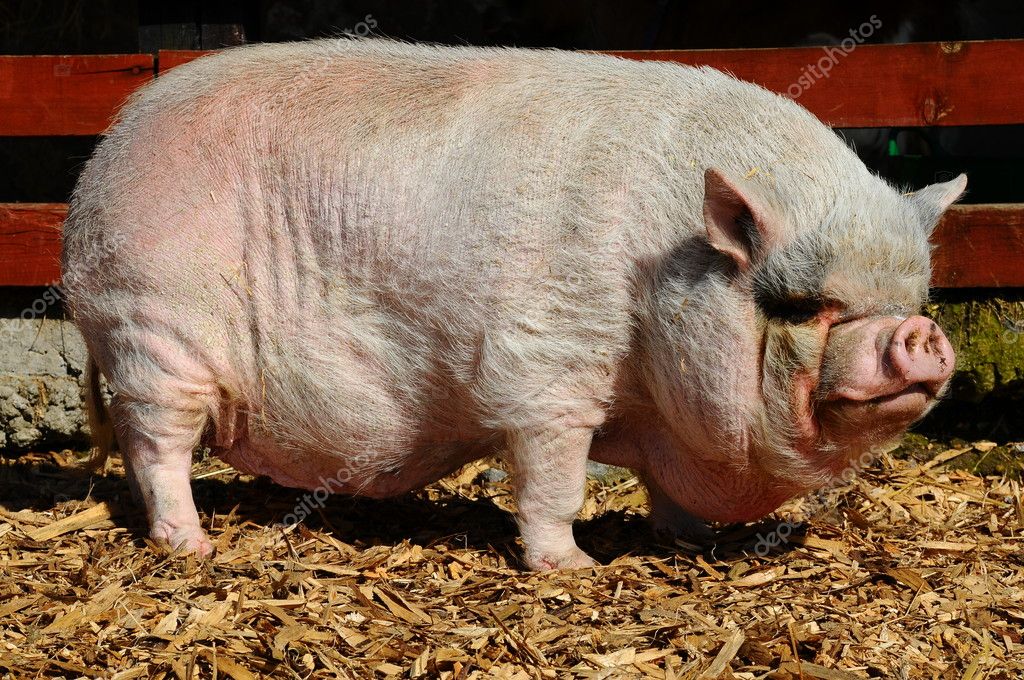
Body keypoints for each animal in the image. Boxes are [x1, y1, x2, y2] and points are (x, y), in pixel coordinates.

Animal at [62, 39, 963, 570]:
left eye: (916, 296)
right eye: (804, 305)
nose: (920, 332)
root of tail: (101, 160)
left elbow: (669, 498)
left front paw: (690, 539)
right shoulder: (546, 370)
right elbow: (554, 481)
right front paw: (575, 568)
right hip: (154, 327)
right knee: (159, 450)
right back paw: (192, 548)